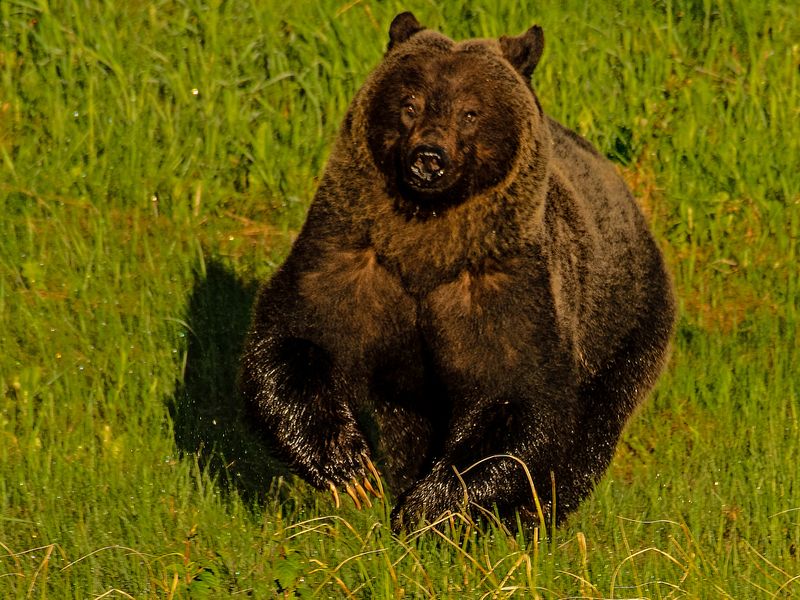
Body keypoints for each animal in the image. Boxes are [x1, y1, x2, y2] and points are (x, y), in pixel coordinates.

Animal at [240, 12, 675, 532]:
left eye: (471, 111)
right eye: (409, 103)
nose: (429, 157)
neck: (426, 240)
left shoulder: (503, 284)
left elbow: (516, 396)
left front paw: (429, 507)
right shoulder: (352, 252)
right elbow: (297, 338)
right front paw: (351, 471)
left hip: (624, 327)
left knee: (590, 431)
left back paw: (532, 516)